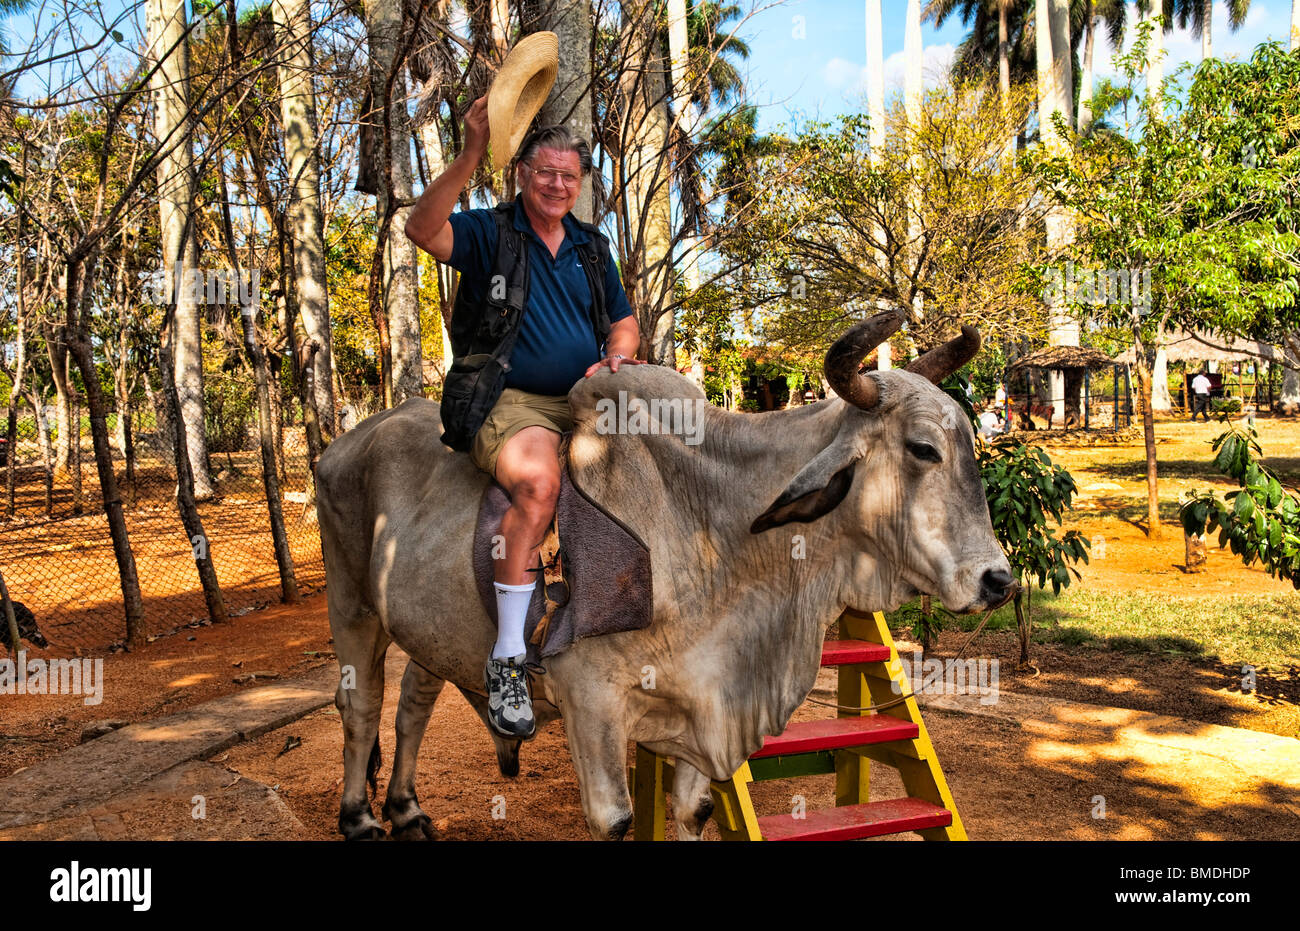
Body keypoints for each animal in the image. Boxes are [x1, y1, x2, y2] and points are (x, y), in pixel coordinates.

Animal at [315, 311, 1015, 841]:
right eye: (923, 448)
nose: (998, 582)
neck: (710, 522)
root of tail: (347, 441)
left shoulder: (700, 708)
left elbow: (693, 811)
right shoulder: (589, 700)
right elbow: (615, 820)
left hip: (426, 628)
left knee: (413, 703)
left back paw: (406, 810)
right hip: (352, 606)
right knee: (360, 703)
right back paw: (359, 818)